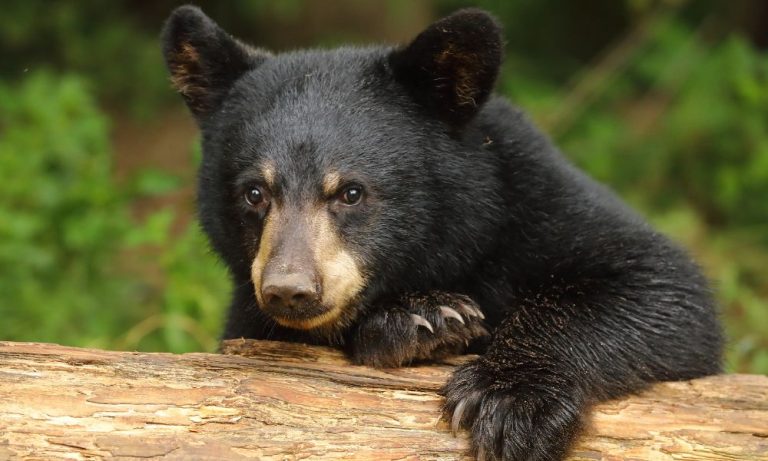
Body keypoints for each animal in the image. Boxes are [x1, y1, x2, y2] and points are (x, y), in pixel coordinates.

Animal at [161, 6, 723, 461]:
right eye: (254, 192)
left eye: (351, 192)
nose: (290, 290)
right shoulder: (248, 318)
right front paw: (424, 319)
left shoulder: (535, 199)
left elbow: (663, 287)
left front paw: (510, 400)